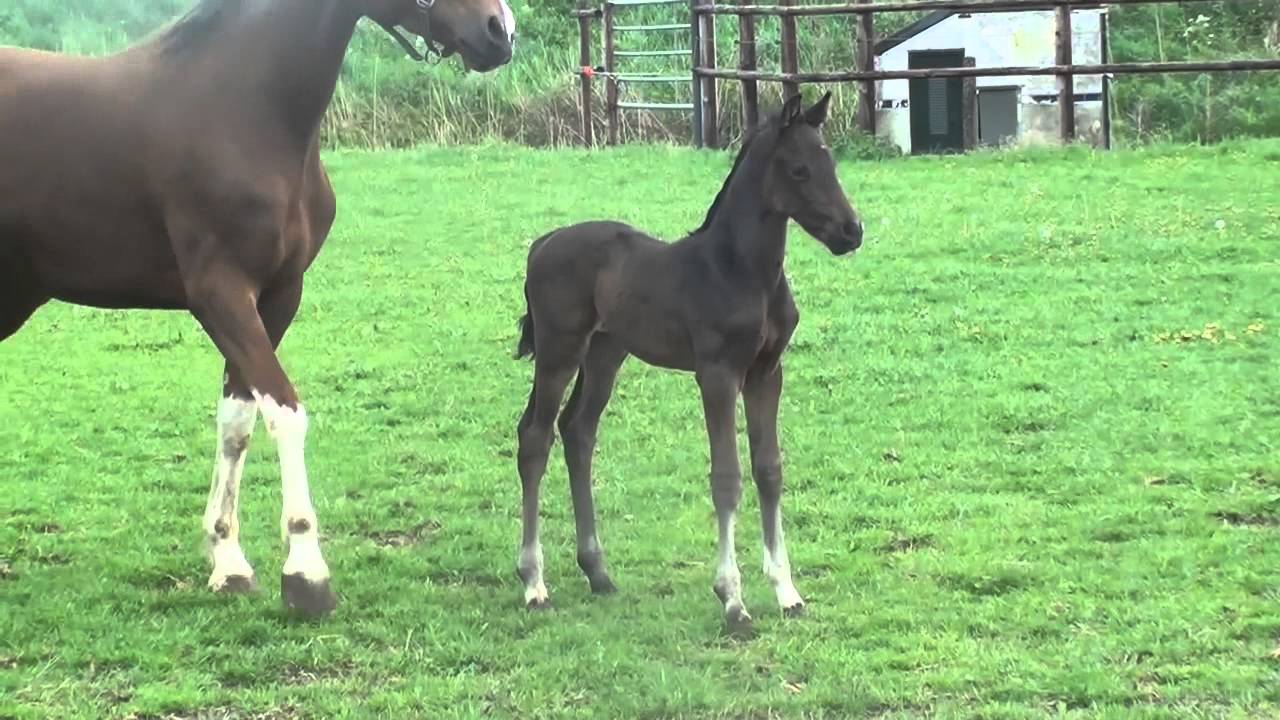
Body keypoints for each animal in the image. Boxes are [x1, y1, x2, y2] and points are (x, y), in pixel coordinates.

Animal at [0, 0, 515, 618]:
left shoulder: (278, 296)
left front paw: (229, 562)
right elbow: (285, 414)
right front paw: (307, 573)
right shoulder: (220, 294)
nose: (499, 31)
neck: (248, 107)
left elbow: (238, 421)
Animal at [511, 91, 864, 634]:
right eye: (800, 170)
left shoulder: (766, 373)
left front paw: (787, 592)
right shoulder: (717, 374)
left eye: (832, 163)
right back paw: (534, 583)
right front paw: (733, 599)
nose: (852, 231)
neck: (740, 271)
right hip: (559, 352)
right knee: (535, 438)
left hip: (606, 354)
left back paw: (598, 572)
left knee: (578, 432)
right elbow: (727, 477)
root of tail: (543, 242)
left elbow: (769, 470)